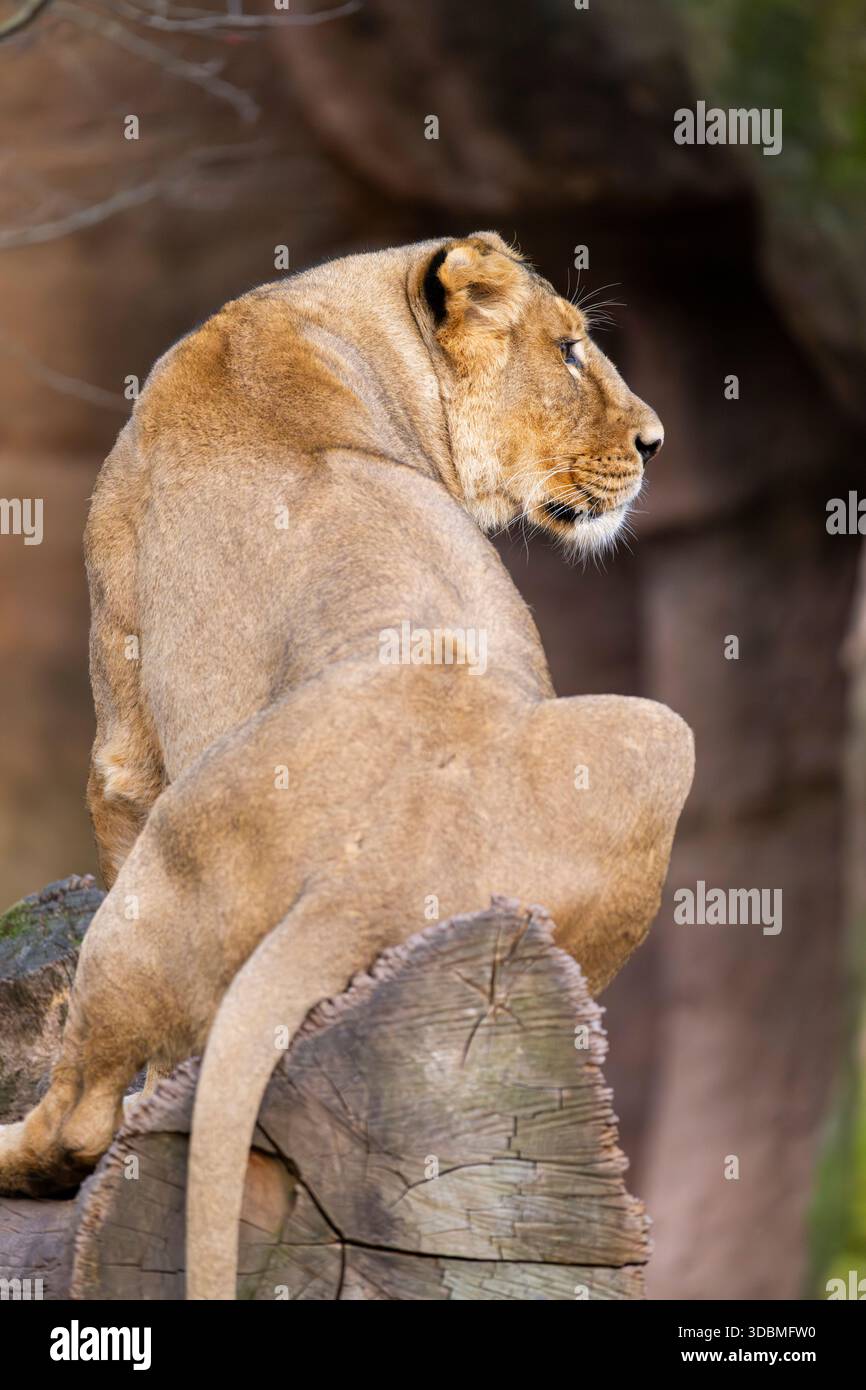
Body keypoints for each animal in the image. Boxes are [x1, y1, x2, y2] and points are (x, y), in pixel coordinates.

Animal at [0, 233, 692, 1301]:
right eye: (571, 349)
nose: (656, 441)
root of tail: (384, 864)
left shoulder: (122, 739)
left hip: (161, 868)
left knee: (78, 1121)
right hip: (663, 736)